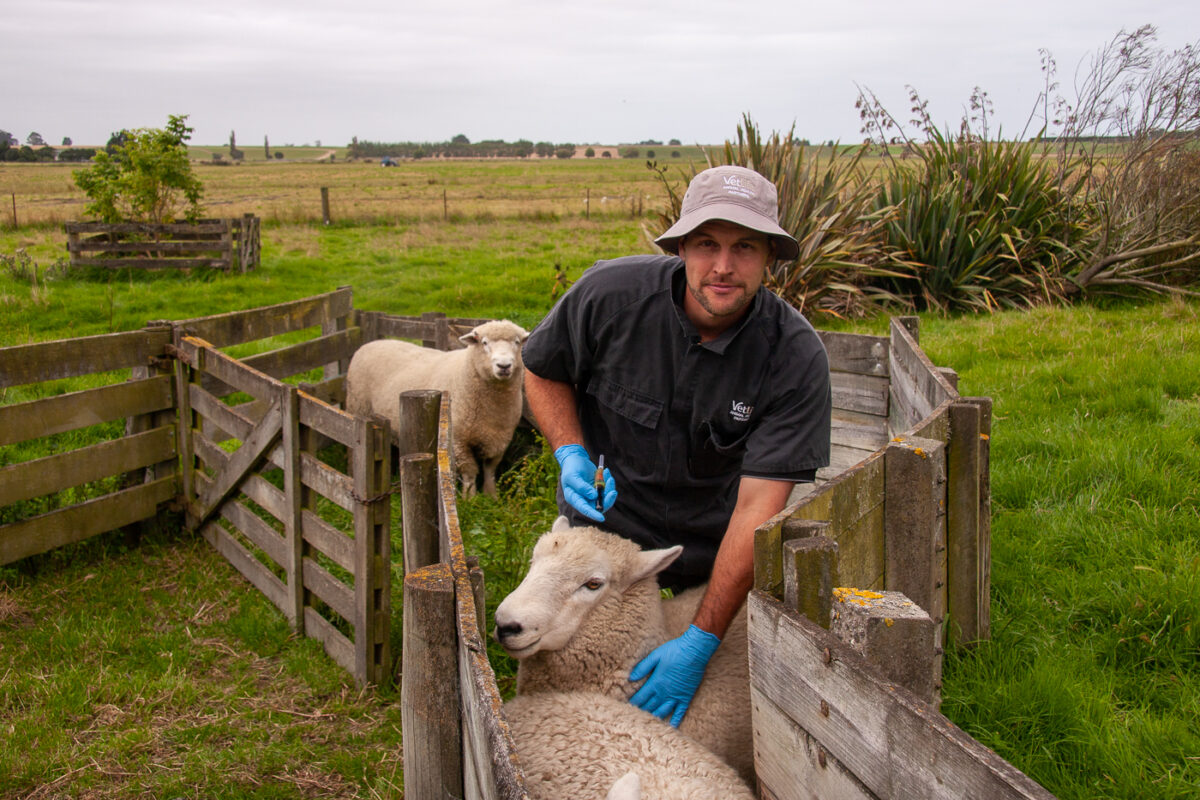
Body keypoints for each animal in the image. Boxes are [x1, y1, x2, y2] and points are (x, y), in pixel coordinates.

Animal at [345, 319, 528, 496]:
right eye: (484, 342)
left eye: (517, 342)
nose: (504, 366)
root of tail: (368, 344)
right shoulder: (457, 440)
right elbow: (469, 473)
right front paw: (470, 498)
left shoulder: (499, 439)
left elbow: (490, 470)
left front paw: (491, 496)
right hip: (358, 407)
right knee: (352, 448)